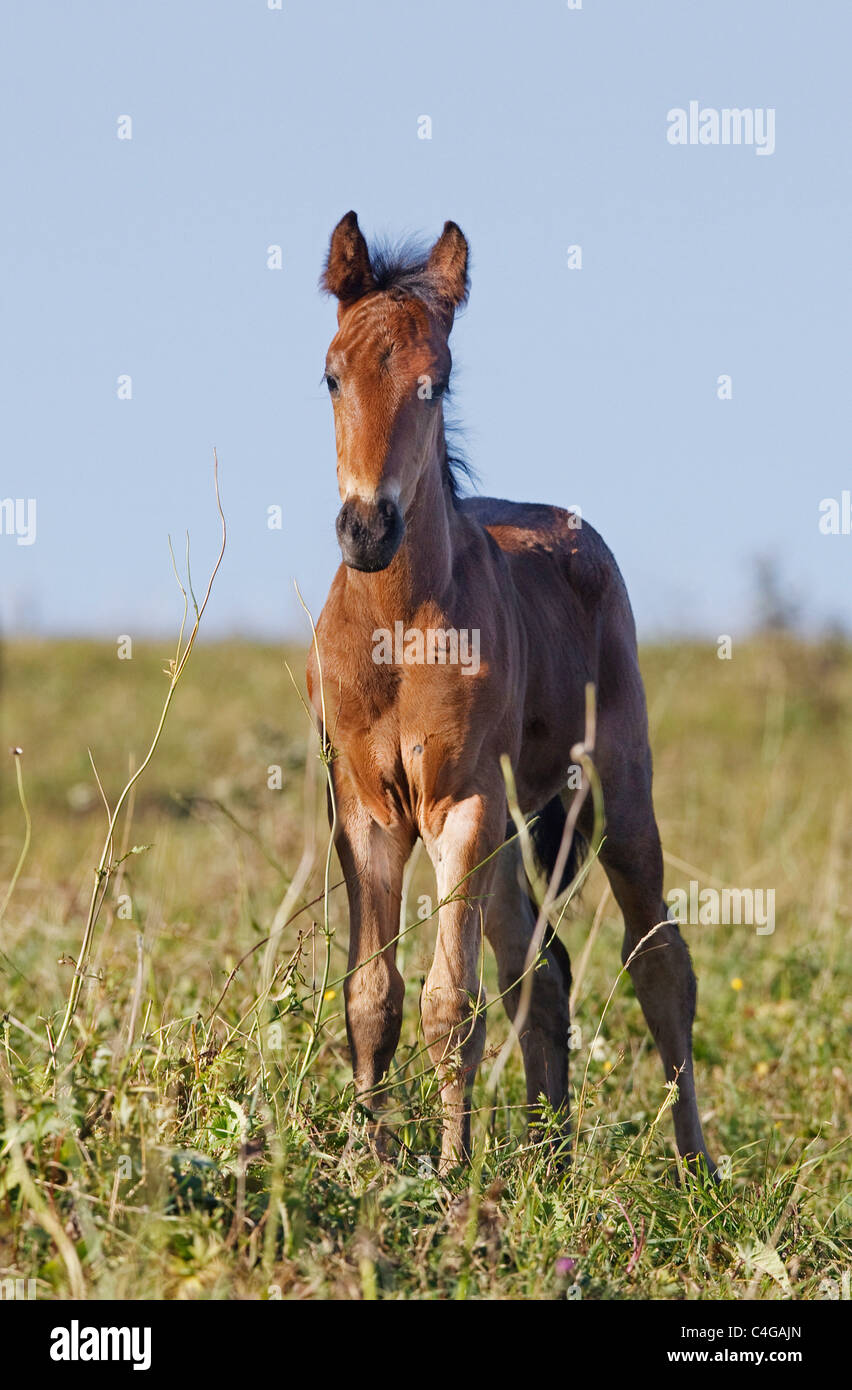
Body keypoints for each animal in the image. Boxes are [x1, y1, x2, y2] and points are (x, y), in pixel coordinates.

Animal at [306, 211, 714, 1176]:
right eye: (330, 374)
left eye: (437, 381)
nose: (368, 528)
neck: (396, 630)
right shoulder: (366, 811)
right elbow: (371, 994)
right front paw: (371, 1166)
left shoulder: (460, 801)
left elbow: (450, 1004)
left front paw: (452, 1176)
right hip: (511, 821)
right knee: (545, 964)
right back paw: (548, 1160)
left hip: (610, 789)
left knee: (658, 958)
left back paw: (694, 1171)